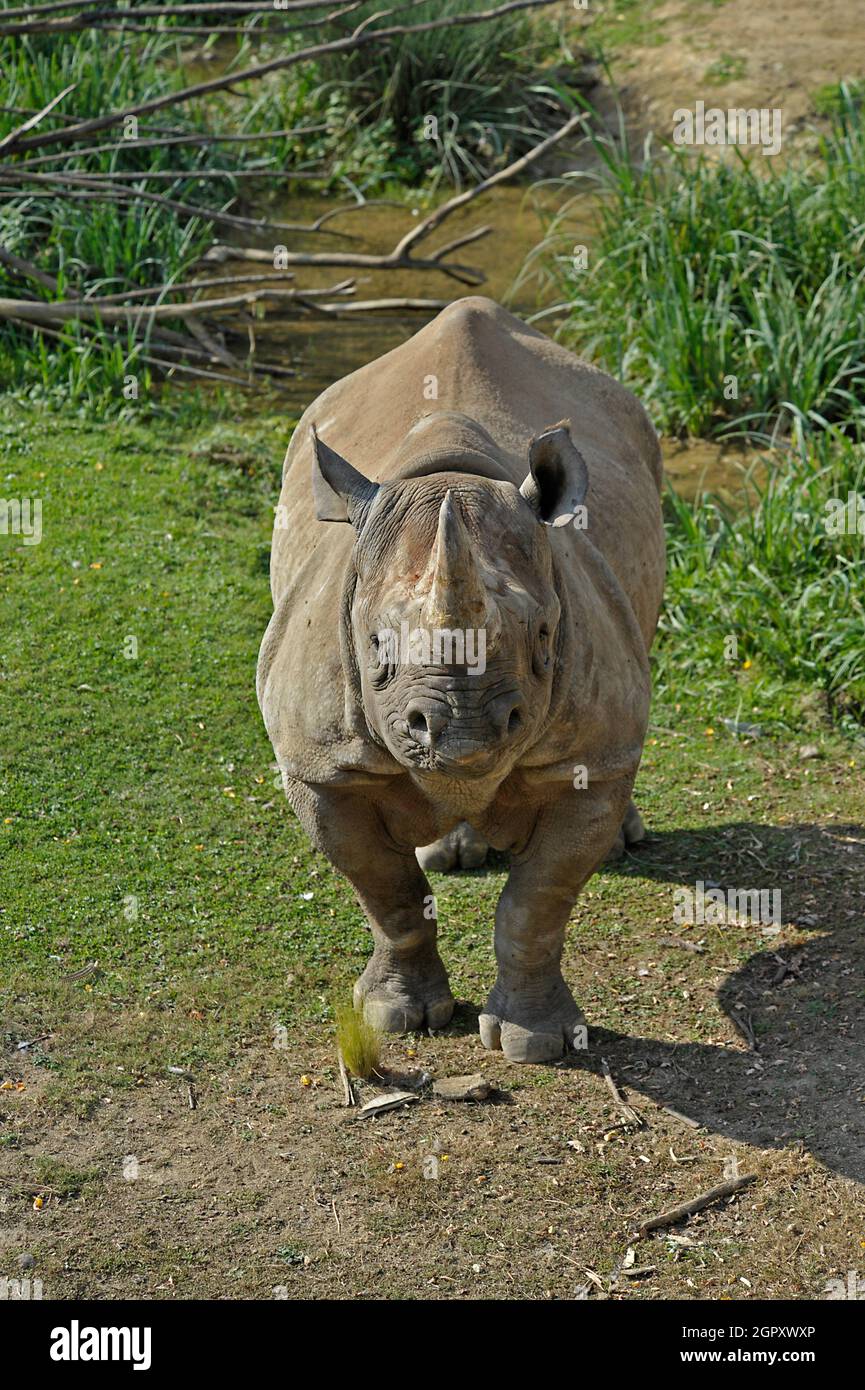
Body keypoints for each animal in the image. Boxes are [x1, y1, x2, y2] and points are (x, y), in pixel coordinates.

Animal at [257, 297, 665, 1062]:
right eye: (376, 646)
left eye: (543, 640)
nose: (464, 731)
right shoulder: (322, 766)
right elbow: (386, 891)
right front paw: (397, 1016)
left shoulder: (586, 761)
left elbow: (535, 905)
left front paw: (534, 1043)